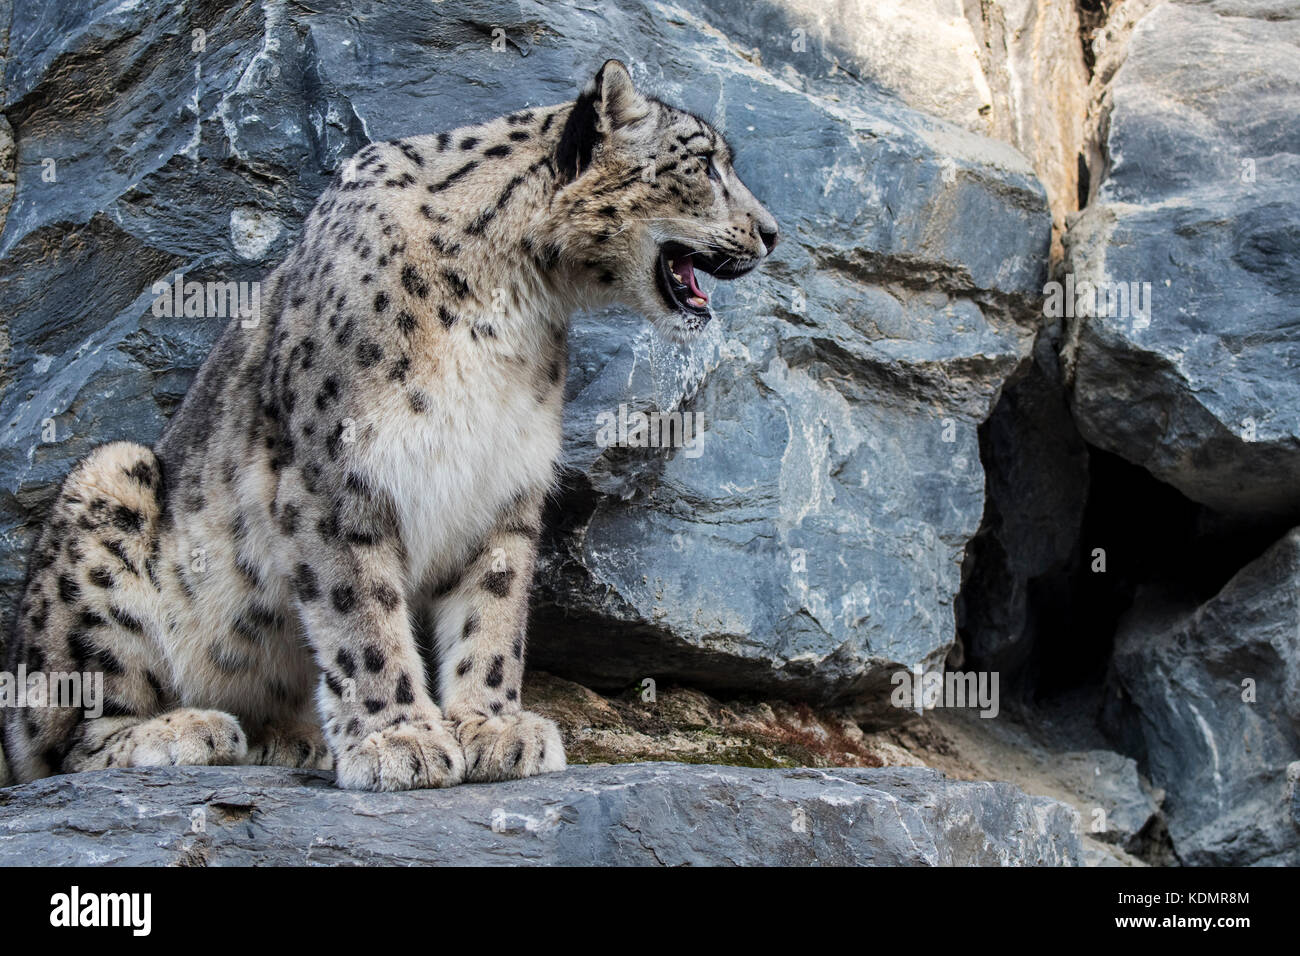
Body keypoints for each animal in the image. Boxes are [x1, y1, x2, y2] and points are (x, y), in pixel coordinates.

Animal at [1, 59, 778, 791]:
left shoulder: (505, 480)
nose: (772, 232)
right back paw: (191, 729)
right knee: (65, 740)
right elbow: (362, 614)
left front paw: (494, 727)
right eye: (707, 164)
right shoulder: (338, 475)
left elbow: (494, 615)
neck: (511, 299)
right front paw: (400, 737)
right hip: (107, 498)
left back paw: (289, 737)